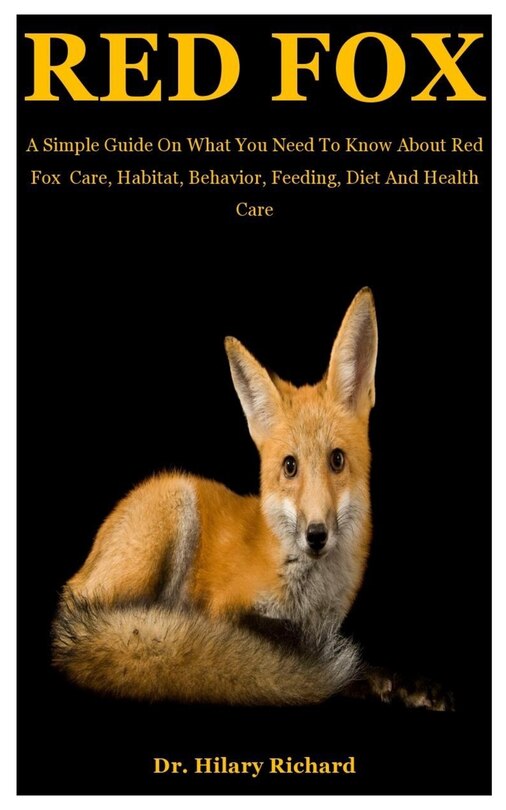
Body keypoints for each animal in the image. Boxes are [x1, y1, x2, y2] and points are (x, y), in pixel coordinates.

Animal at [52, 288, 450, 709]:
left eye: (337, 460)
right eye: (290, 466)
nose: (316, 535)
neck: (307, 600)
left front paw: (408, 685)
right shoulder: (223, 607)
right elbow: (302, 652)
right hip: (174, 511)